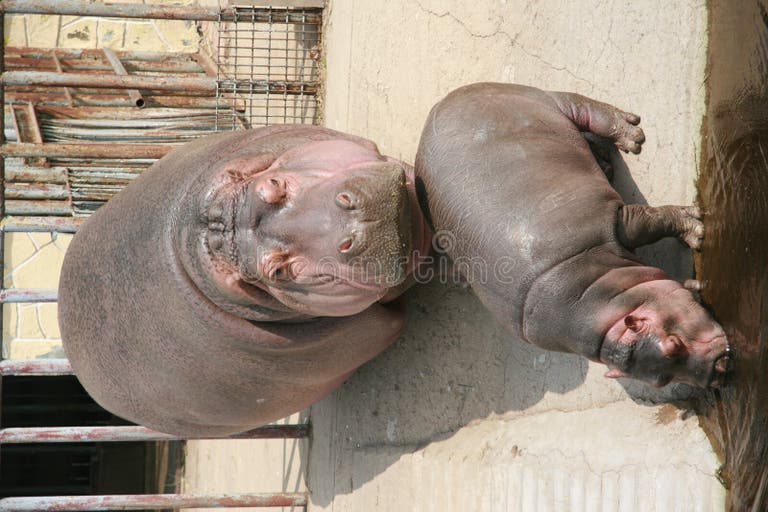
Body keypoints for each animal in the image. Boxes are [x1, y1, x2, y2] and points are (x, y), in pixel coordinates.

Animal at [415, 82, 730, 389]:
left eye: (673, 345)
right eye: (664, 376)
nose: (717, 371)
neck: (611, 294)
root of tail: (443, 101)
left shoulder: (611, 222)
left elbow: (650, 222)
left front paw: (698, 231)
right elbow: (650, 224)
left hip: (543, 101)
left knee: (583, 107)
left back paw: (631, 136)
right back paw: (605, 161)